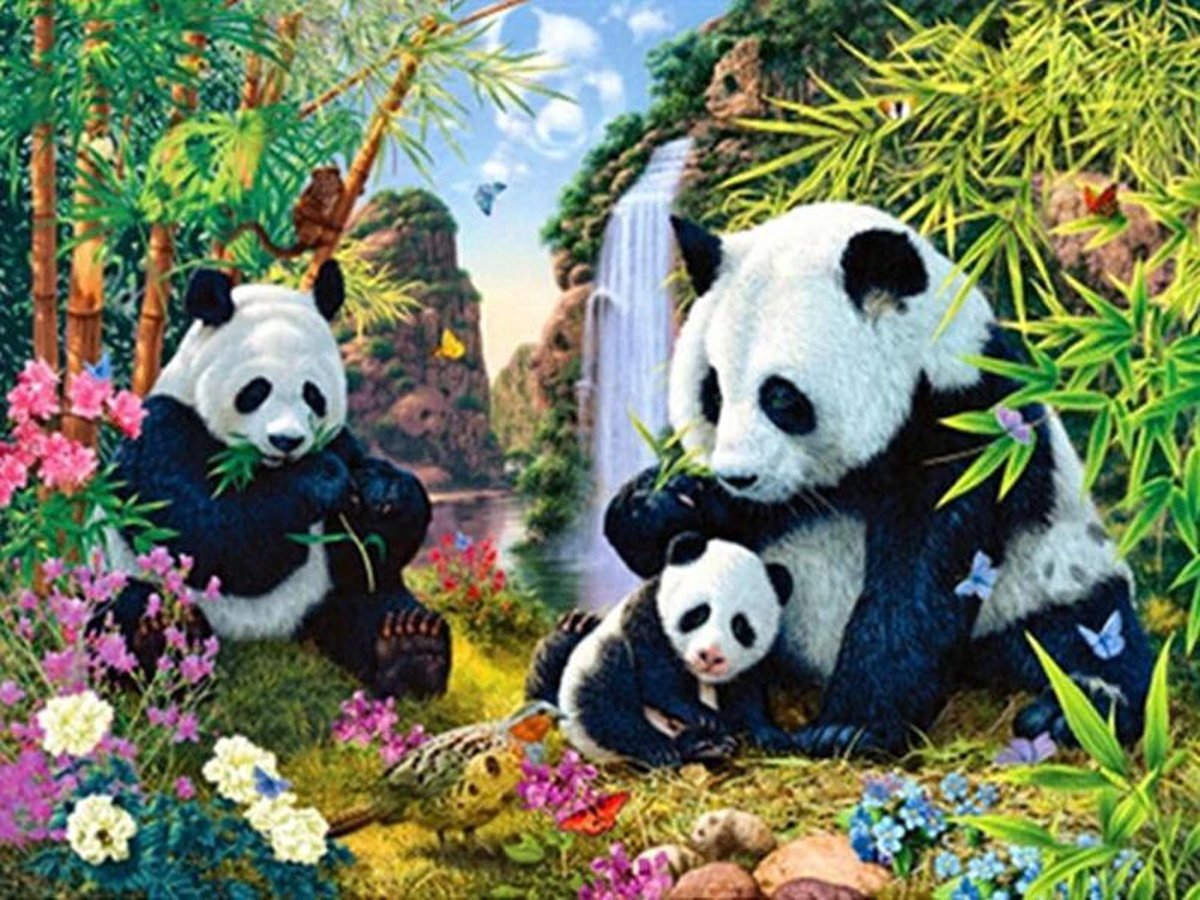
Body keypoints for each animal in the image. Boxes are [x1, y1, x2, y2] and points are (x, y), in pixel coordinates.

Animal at [102, 262, 450, 698]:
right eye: (256, 389)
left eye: (312, 394)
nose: (286, 441)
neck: (265, 468)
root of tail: (275, 634)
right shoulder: (161, 432)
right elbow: (207, 532)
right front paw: (322, 478)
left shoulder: (339, 438)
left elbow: (373, 548)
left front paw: (383, 492)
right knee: (127, 608)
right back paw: (155, 640)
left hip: (323, 594)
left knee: (365, 600)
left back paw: (410, 649)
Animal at [525, 533, 794, 768]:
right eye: (699, 613)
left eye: (740, 626)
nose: (710, 655)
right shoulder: (648, 615)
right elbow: (658, 679)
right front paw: (704, 716)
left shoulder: (744, 667)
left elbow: (746, 693)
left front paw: (772, 736)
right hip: (593, 667)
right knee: (607, 705)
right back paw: (661, 749)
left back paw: (704, 745)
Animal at [604, 202, 1153, 757]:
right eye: (712, 391)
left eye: (779, 396)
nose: (738, 475)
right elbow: (690, 543)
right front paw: (660, 501)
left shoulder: (970, 427)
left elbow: (920, 571)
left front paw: (849, 727)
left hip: (1052, 577)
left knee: (1086, 638)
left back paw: (1073, 710)